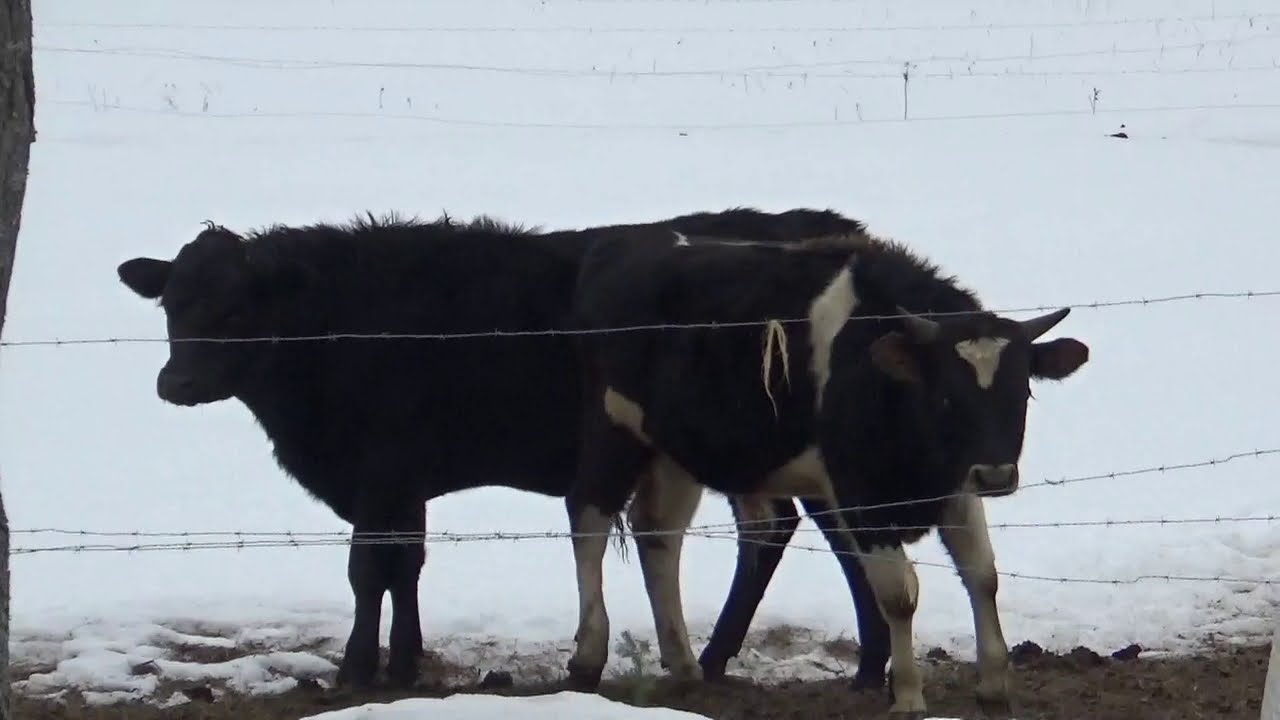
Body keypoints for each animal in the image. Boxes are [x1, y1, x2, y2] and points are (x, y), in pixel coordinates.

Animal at [114, 207, 894, 691]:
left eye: (235, 308)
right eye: (171, 303)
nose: (176, 382)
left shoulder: (379, 474)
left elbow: (368, 570)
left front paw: (357, 669)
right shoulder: (403, 483)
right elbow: (405, 567)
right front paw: (405, 662)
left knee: (827, 537)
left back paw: (852, 667)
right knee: (781, 532)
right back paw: (746, 659)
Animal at [564, 226, 1089, 719]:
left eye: (1022, 393)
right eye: (945, 396)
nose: (996, 476)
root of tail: (625, 245)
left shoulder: (956, 487)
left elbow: (982, 576)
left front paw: (995, 690)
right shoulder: (861, 494)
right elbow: (899, 593)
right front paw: (908, 696)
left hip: (673, 451)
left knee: (657, 532)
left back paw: (685, 665)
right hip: (615, 428)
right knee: (589, 519)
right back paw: (588, 658)